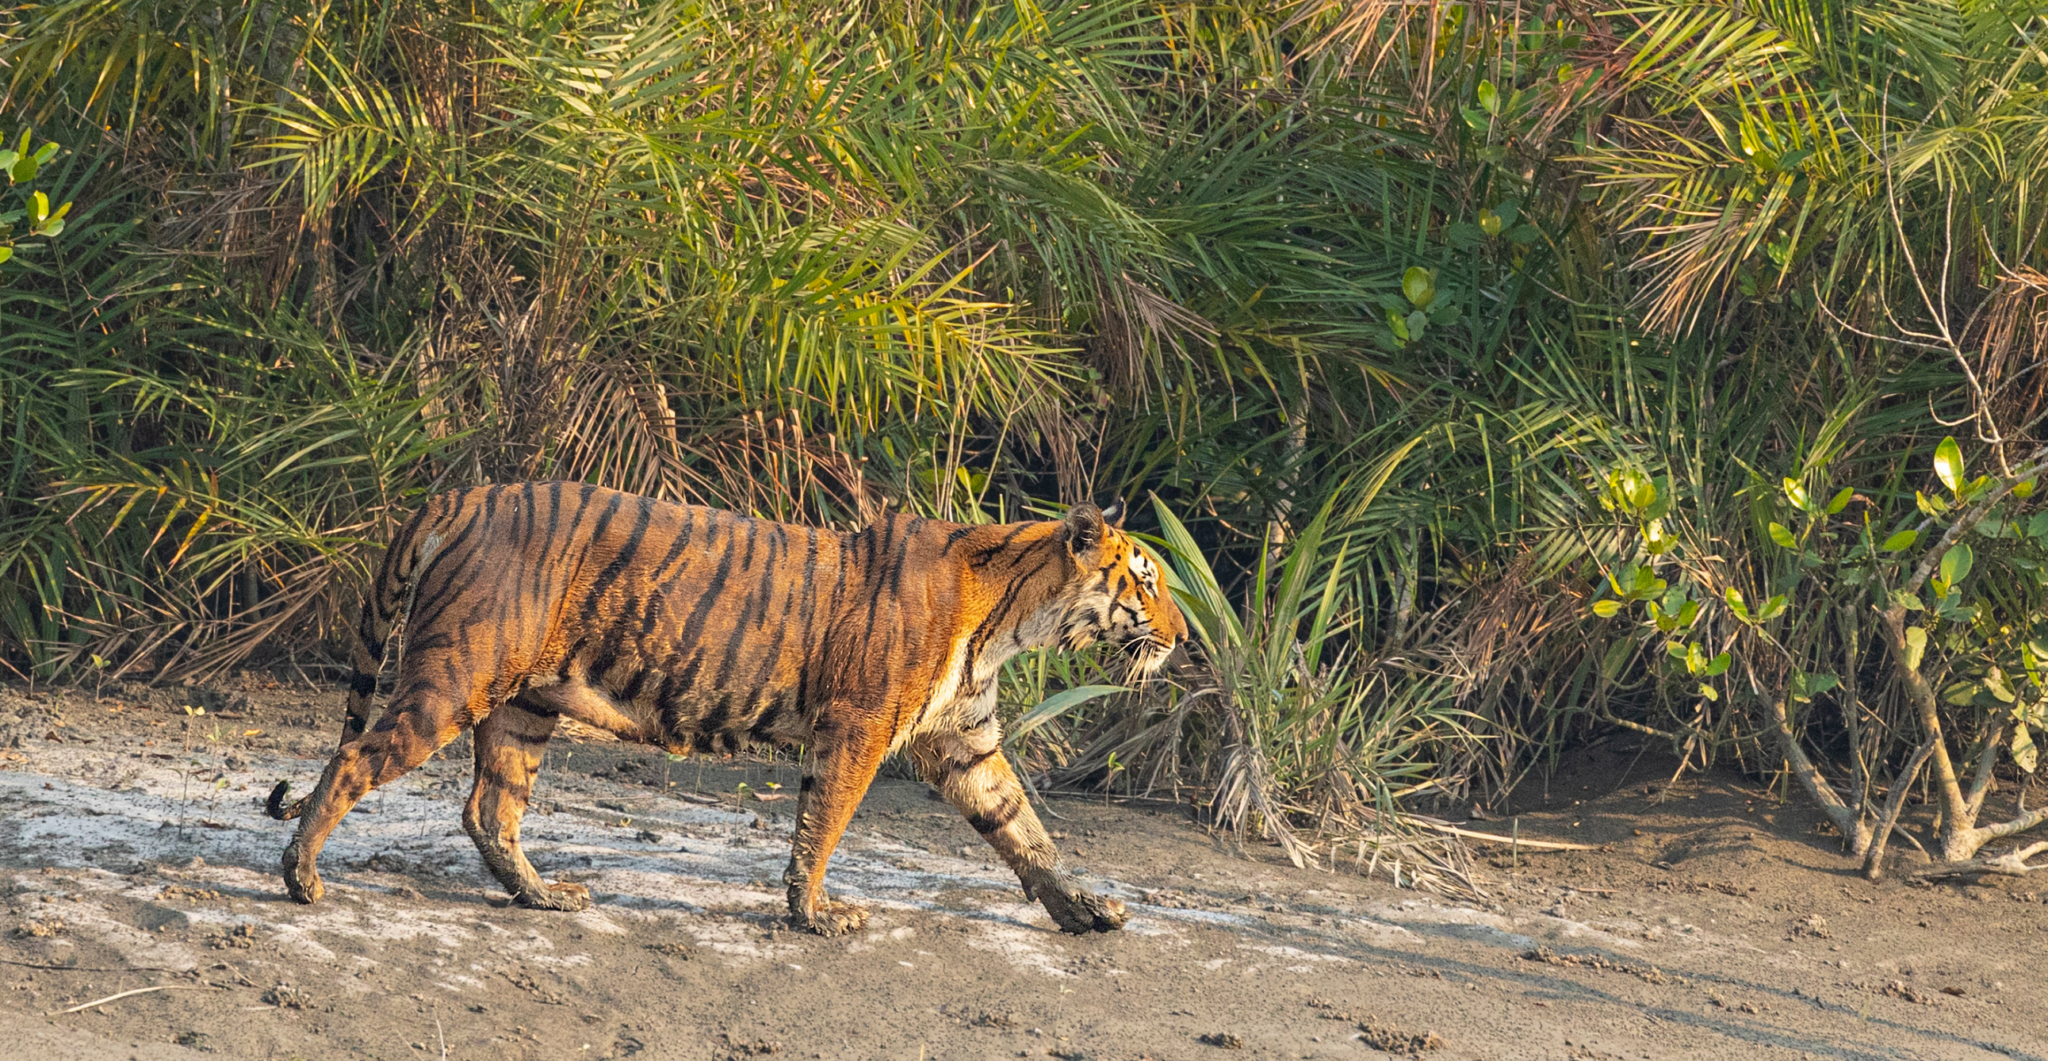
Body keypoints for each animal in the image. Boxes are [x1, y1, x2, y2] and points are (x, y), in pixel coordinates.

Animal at [266, 482, 1188, 936]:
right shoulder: (857, 728)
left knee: (489, 808)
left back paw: (545, 896)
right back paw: (301, 876)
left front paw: (1084, 909)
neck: (1011, 617)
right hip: (455, 678)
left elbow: (1026, 830)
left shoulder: (967, 743)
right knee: (353, 759)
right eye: (1146, 580)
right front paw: (815, 915)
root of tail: (458, 495)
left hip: (523, 705)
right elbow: (823, 825)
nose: (1183, 636)